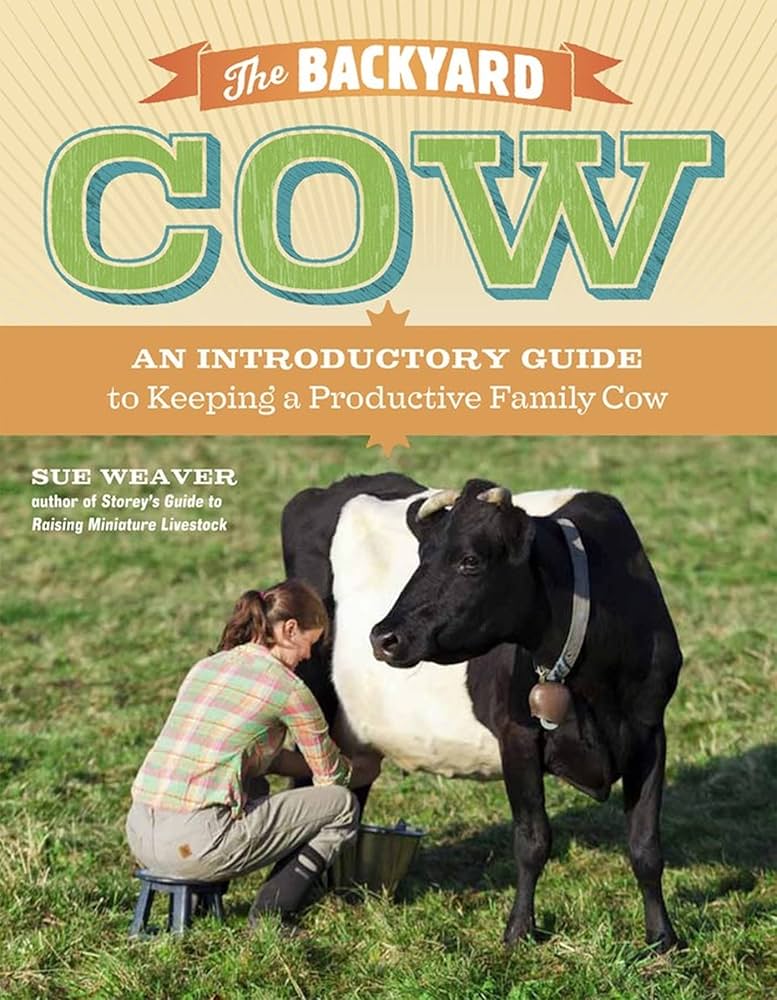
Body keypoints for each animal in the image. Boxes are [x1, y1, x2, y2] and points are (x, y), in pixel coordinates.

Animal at [282, 473, 682, 951]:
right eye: (422, 557)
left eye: (470, 561)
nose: (383, 637)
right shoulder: (518, 736)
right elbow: (532, 841)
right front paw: (518, 932)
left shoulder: (649, 732)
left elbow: (646, 846)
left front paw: (662, 937)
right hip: (308, 696)